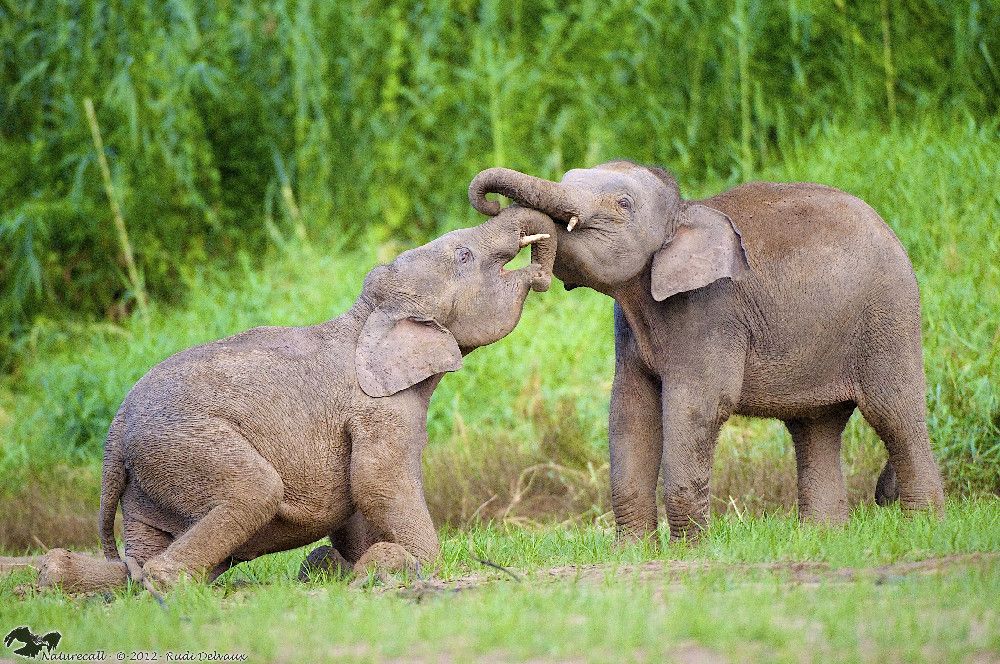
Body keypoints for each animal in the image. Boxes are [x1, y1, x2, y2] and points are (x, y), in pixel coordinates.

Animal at [2, 206, 556, 593]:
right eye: (464, 256)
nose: (542, 270)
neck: (365, 316)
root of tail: (114, 436)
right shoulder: (380, 409)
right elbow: (379, 483)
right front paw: (415, 564)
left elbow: (357, 504)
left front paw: (347, 565)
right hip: (184, 445)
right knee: (253, 492)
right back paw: (170, 584)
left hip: (148, 478)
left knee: (142, 552)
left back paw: (65, 575)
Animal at [469, 162, 945, 541]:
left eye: (623, 203)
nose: (494, 208)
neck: (684, 211)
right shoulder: (628, 327)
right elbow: (629, 410)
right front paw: (633, 553)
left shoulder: (712, 311)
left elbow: (697, 407)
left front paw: (689, 550)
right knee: (816, 428)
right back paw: (824, 539)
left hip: (888, 316)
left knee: (894, 414)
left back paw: (922, 529)